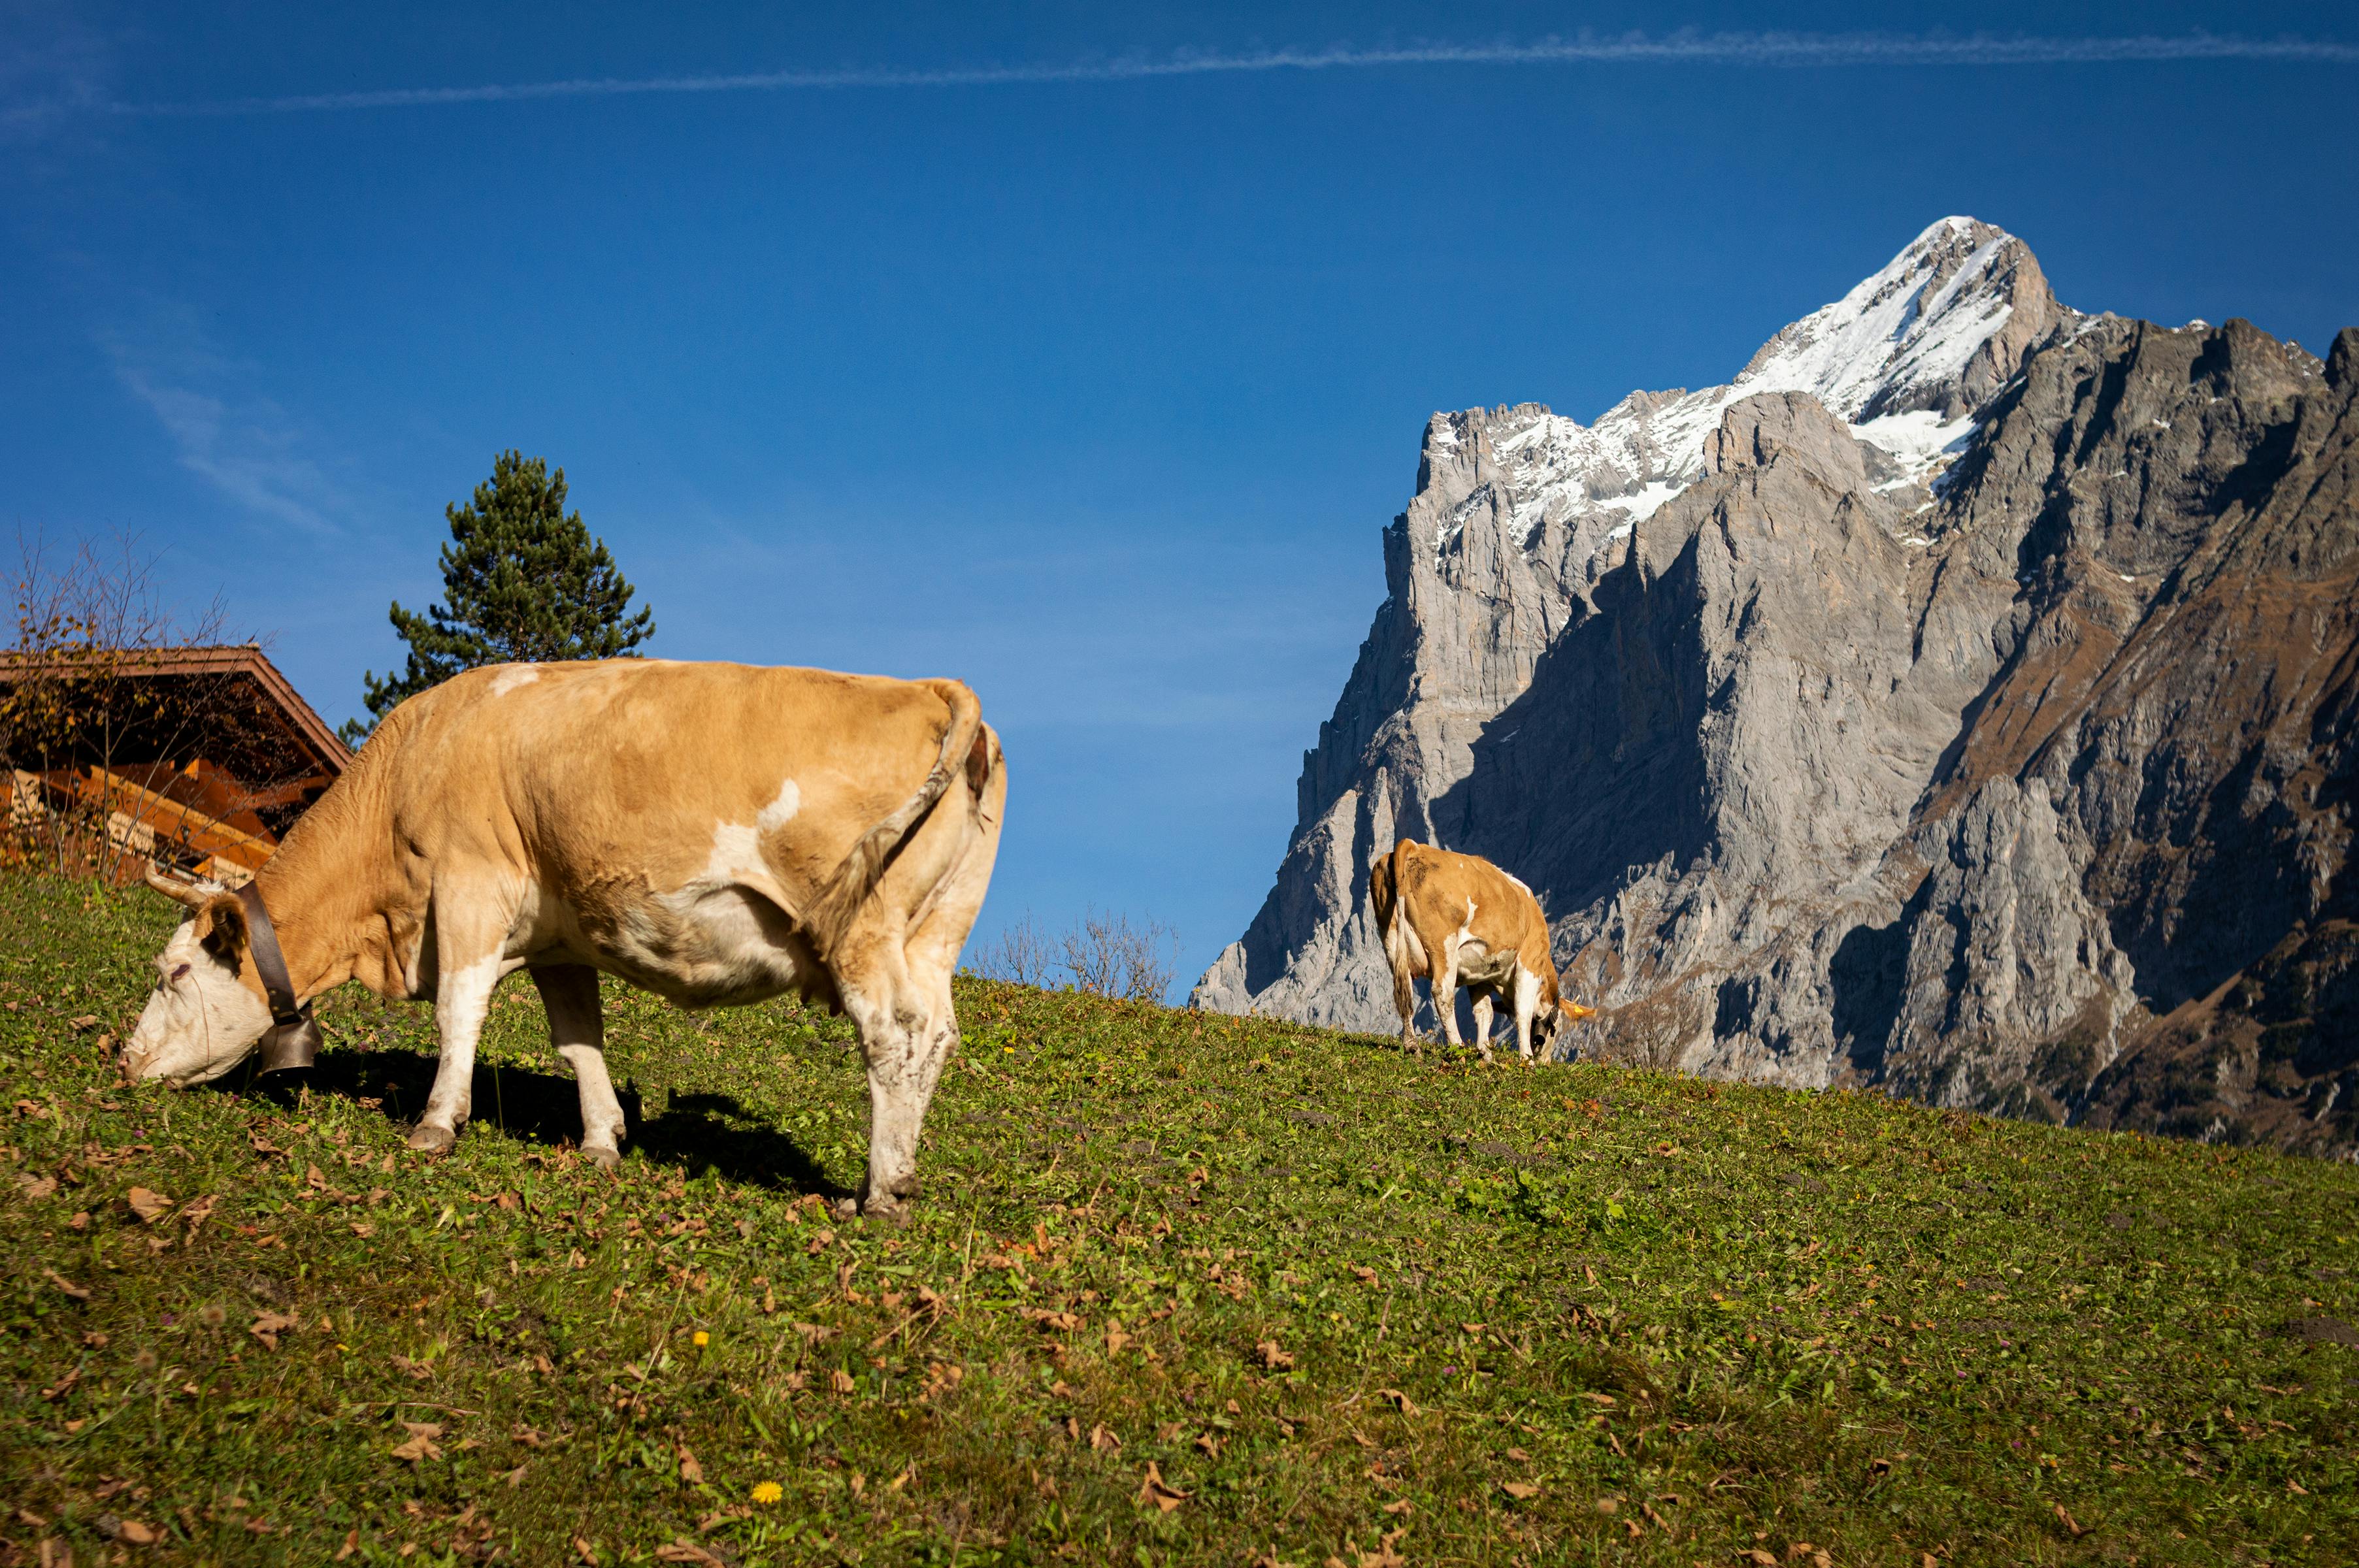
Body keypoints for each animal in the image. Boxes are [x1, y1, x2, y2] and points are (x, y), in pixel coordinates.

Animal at [120, 659, 1005, 1223]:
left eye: (173, 973)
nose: (122, 1063)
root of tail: (932, 688)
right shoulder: (558, 940)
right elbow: (579, 1041)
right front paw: (602, 1141)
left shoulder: (470, 879)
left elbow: (459, 1010)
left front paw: (436, 1125)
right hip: (933, 935)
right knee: (934, 1035)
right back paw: (900, 1178)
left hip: (865, 929)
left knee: (893, 1035)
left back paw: (882, 1192)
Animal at [1366, 839, 1592, 1063]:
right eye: (1555, 1029)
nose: (1545, 1062)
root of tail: (1413, 846)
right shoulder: (1530, 961)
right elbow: (1523, 1012)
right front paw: (1526, 1058)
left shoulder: (1480, 974)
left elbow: (1485, 1012)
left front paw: (1485, 1053)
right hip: (1444, 944)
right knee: (1442, 993)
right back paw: (1457, 1047)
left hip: (1391, 937)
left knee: (1405, 994)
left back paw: (1412, 1046)